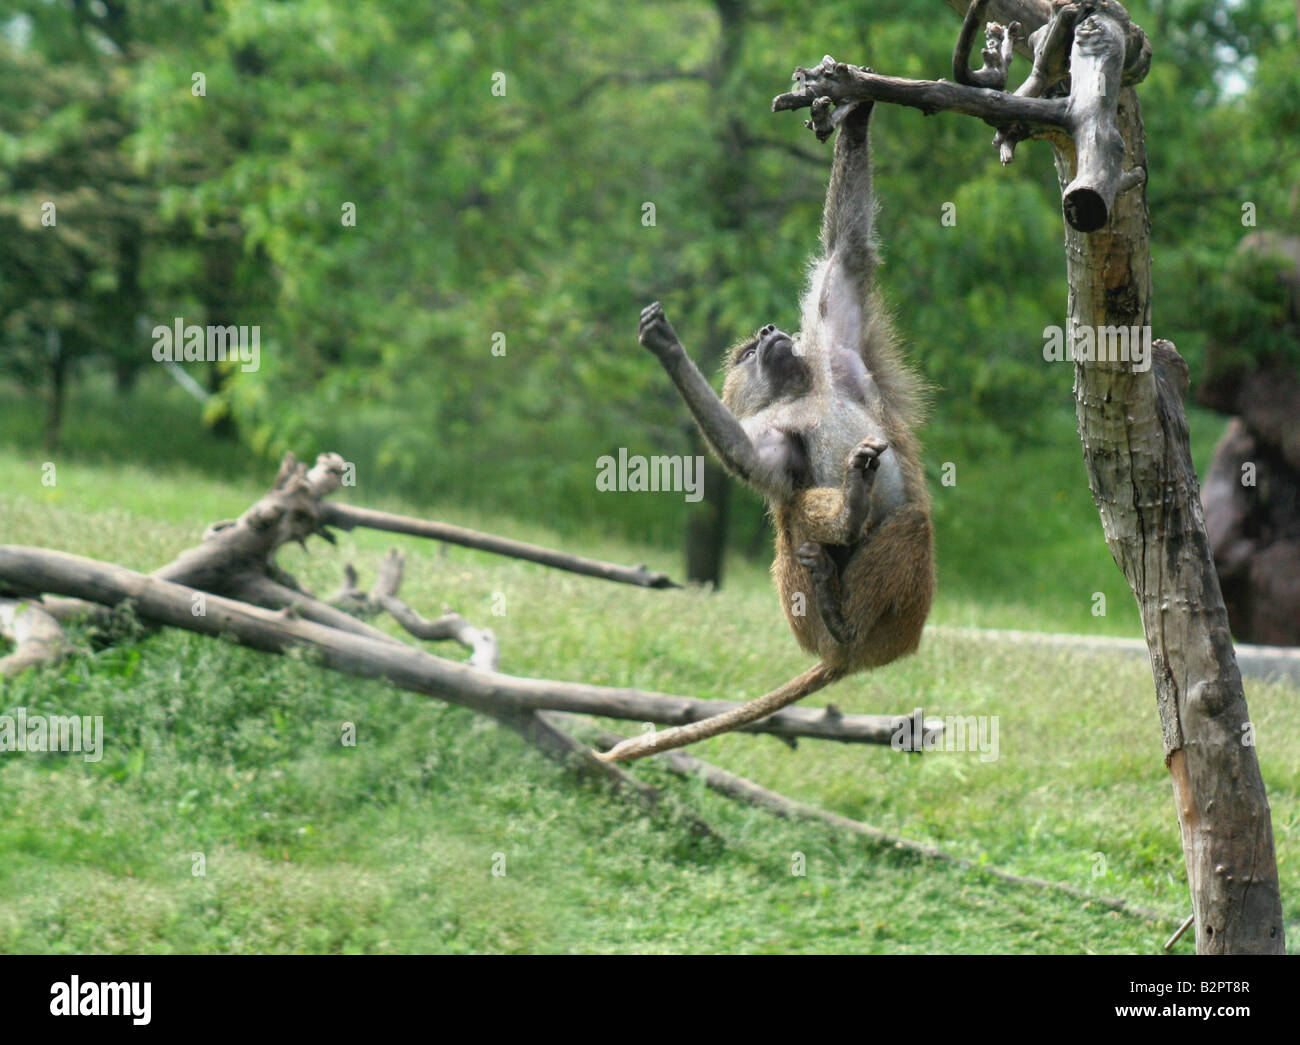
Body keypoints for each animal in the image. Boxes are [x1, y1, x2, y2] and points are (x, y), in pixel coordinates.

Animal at [598, 94, 934, 764]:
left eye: (766, 335)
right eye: (752, 350)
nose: (769, 331)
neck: (803, 389)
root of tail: (853, 659)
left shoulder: (838, 351)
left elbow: (846, 257)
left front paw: (857, 105)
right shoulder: (775, 429)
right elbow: (749, 458)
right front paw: (668, 350)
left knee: (897, 522)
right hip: (821, 612)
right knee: (818, 516)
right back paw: (841, 567)